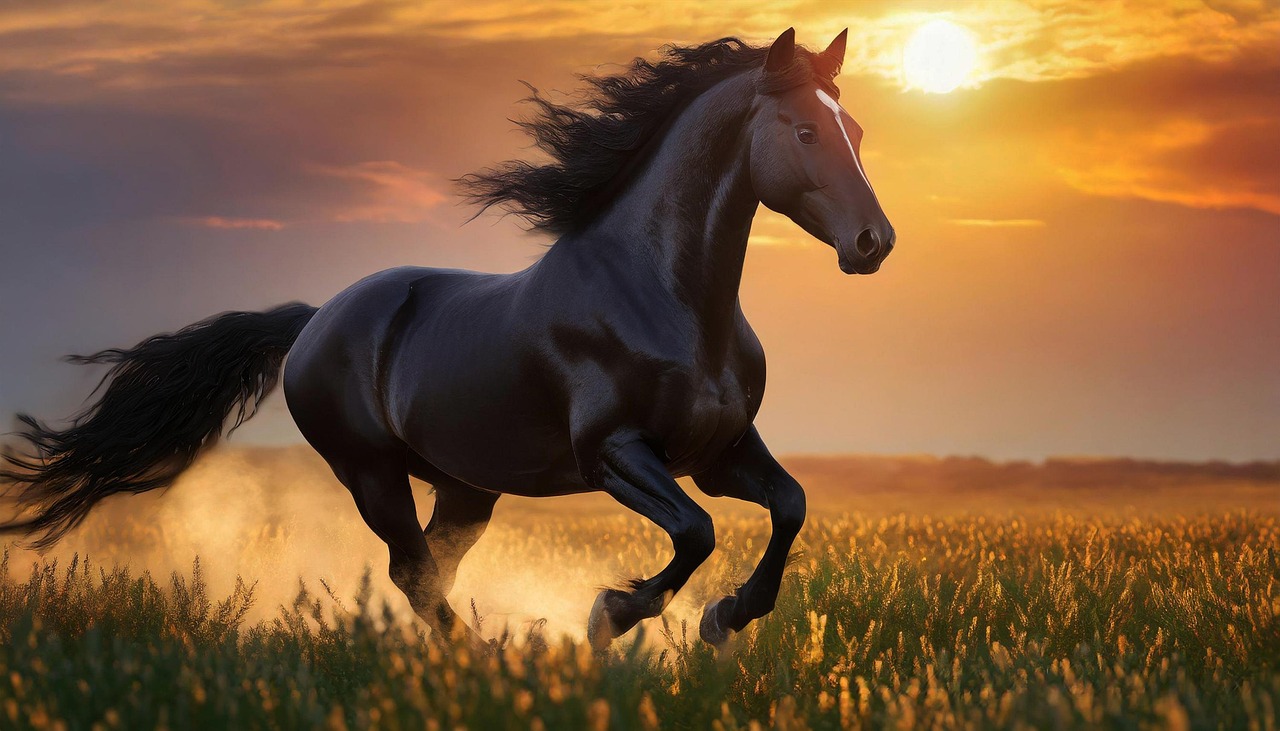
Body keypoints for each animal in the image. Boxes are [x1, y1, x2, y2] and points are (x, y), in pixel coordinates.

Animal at [0, 28, 893, 650]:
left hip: (467, 485)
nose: (874, 242)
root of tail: (316, 317)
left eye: (855, 127)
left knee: (436, 562)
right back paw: (480, 657)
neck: (667, 298)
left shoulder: (718, 450)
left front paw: (725, 617)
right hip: (370, 472)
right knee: (413, 569)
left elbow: (789, 504)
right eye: (805, 132)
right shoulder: (615, 454)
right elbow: (696, 530)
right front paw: (612, 614)